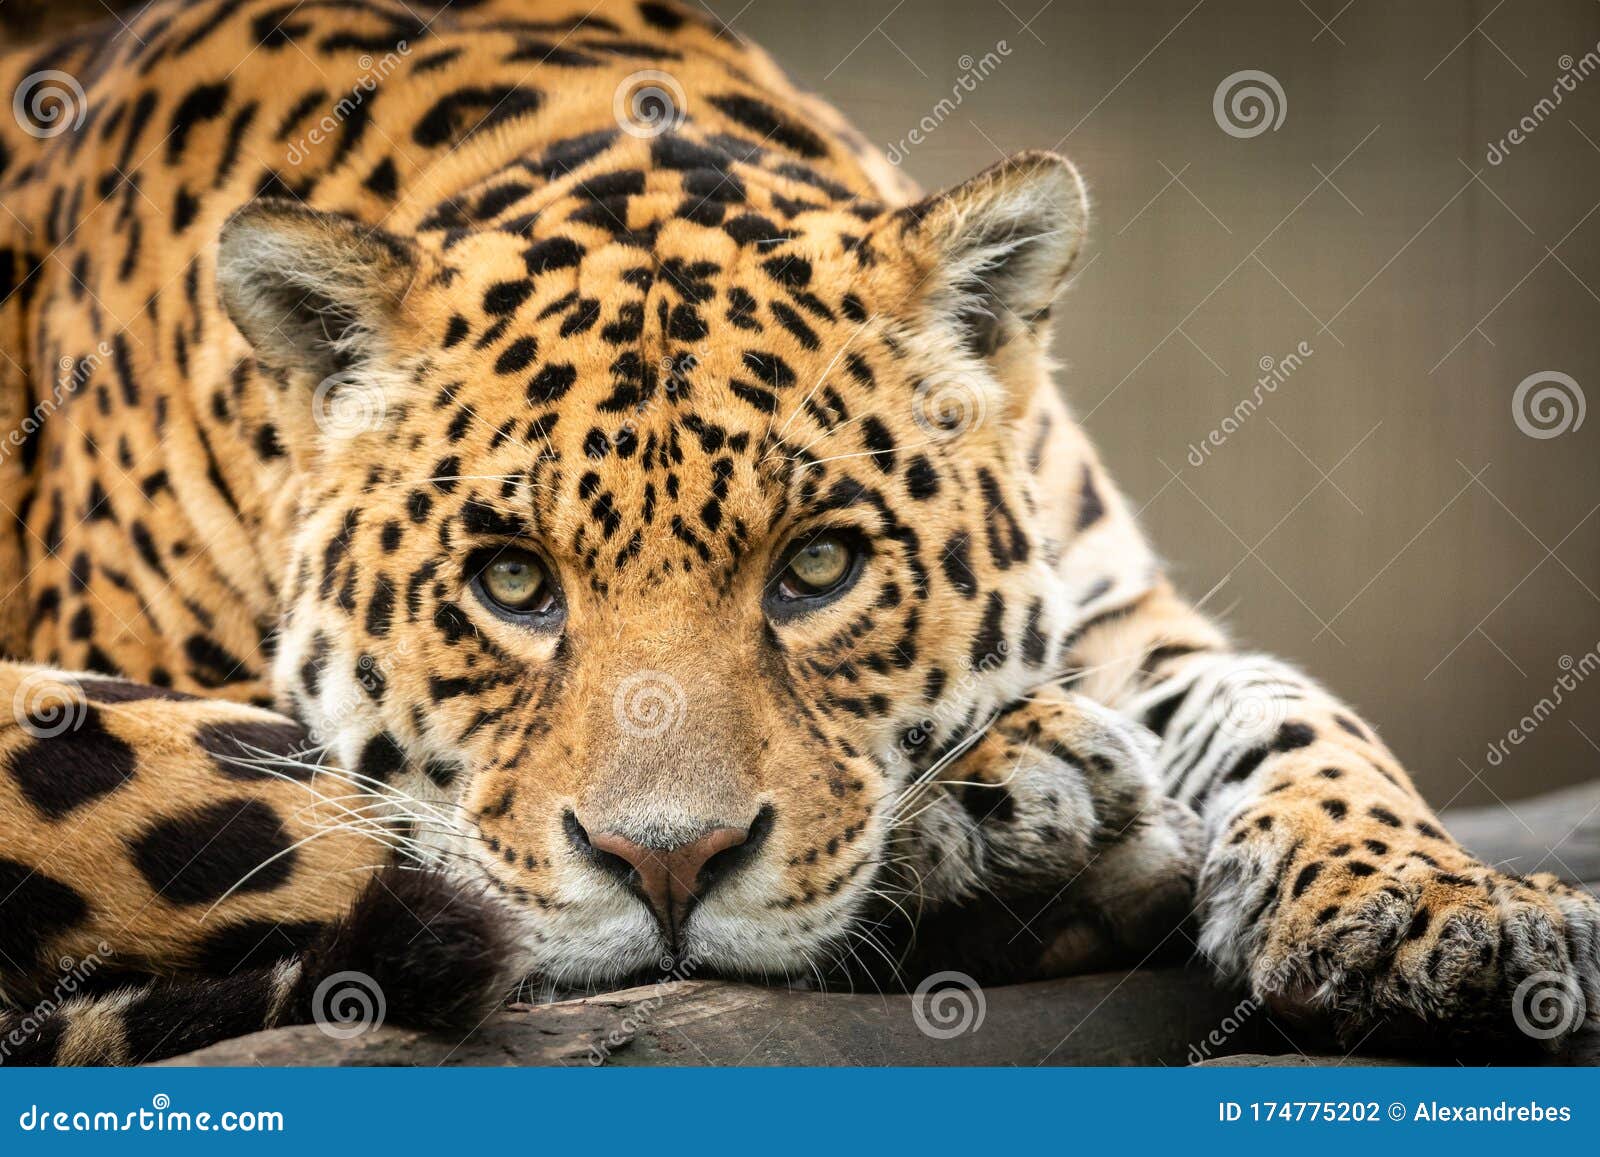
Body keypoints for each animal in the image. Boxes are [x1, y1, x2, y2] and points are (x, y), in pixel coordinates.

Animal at [0, 0, 1594, 1065]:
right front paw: (1016, 785)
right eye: (511, 584)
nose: (665, 867)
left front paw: (1436, 904)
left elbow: (1286, 705)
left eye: (818, 566)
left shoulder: (1111, 603)